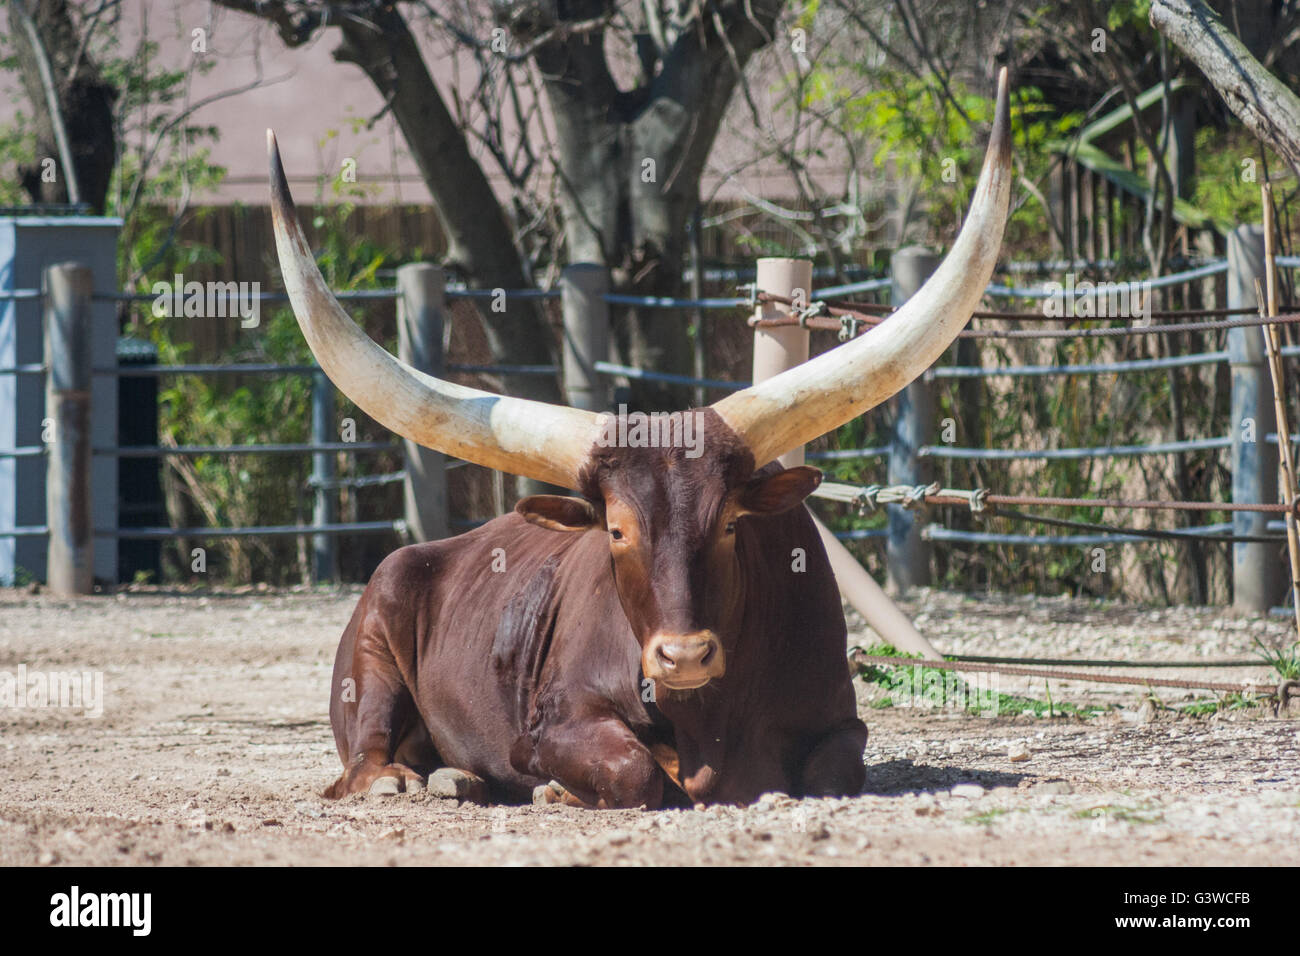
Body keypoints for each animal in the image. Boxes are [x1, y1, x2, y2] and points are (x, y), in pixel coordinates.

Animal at [267, 68, 1013, 809]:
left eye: (732, 524)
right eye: (617, 531)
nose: (682, 656)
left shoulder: (840, 724)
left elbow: (835, 771)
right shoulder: (551, 725)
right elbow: (634, 770)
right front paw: (562, 791)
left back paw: (459, 776)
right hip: (373, 645)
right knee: (363, 761)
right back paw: (409, 778)